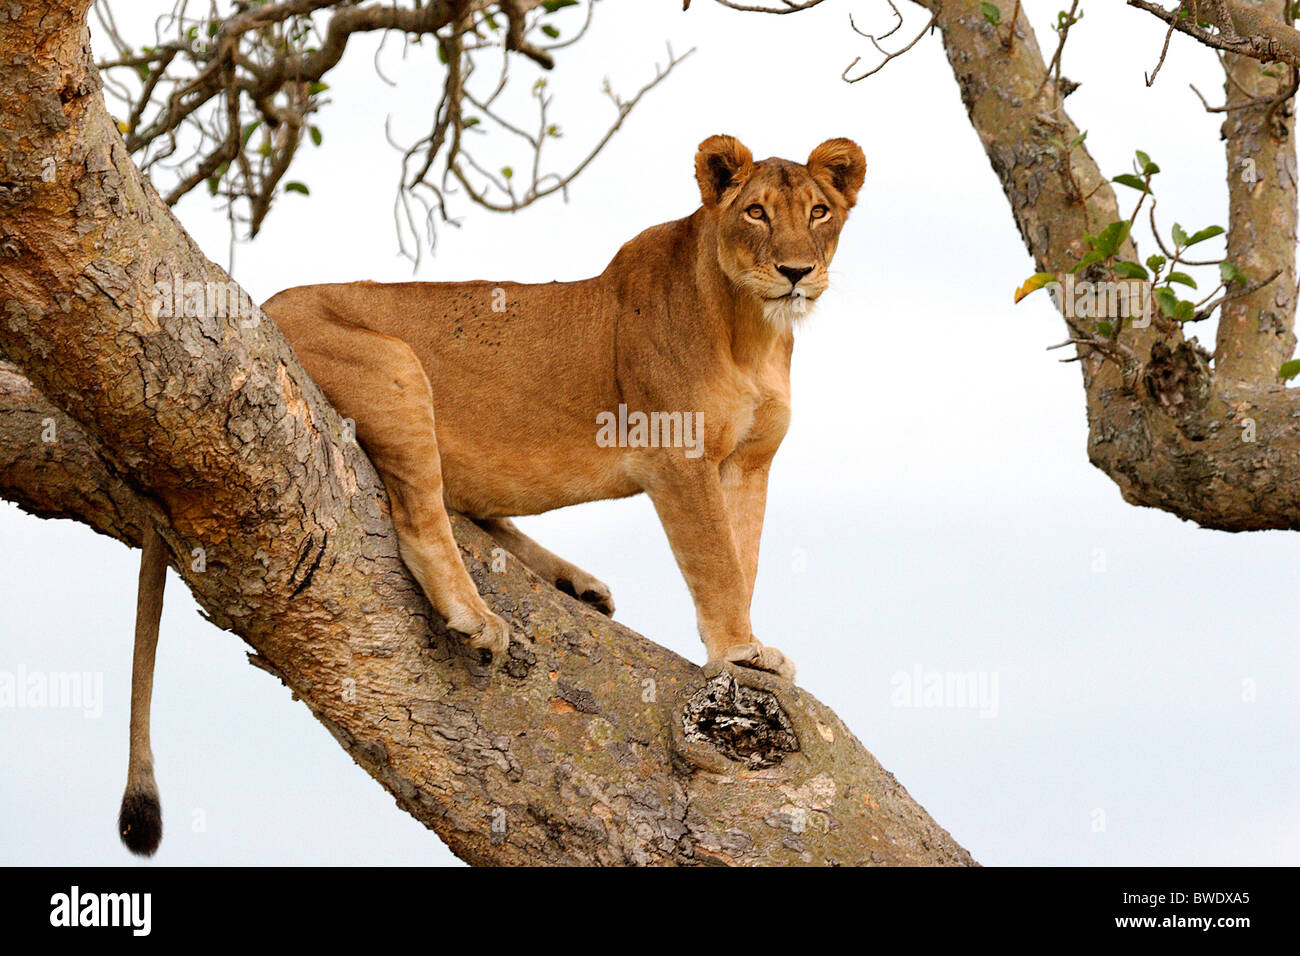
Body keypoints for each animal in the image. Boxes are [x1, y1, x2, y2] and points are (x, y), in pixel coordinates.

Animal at [116, 134, 866, 855]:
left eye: (818, 212)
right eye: (756, 212)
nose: (796, 272)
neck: (754, 331)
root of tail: (257, 301)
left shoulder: (749, 462)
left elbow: (743, 558)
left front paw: (747, 643)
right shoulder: (677, 455)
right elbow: (716, 562)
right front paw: (740, 651)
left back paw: (574, 584)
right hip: (394, 365)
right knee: (422, 519)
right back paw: (476, 617)